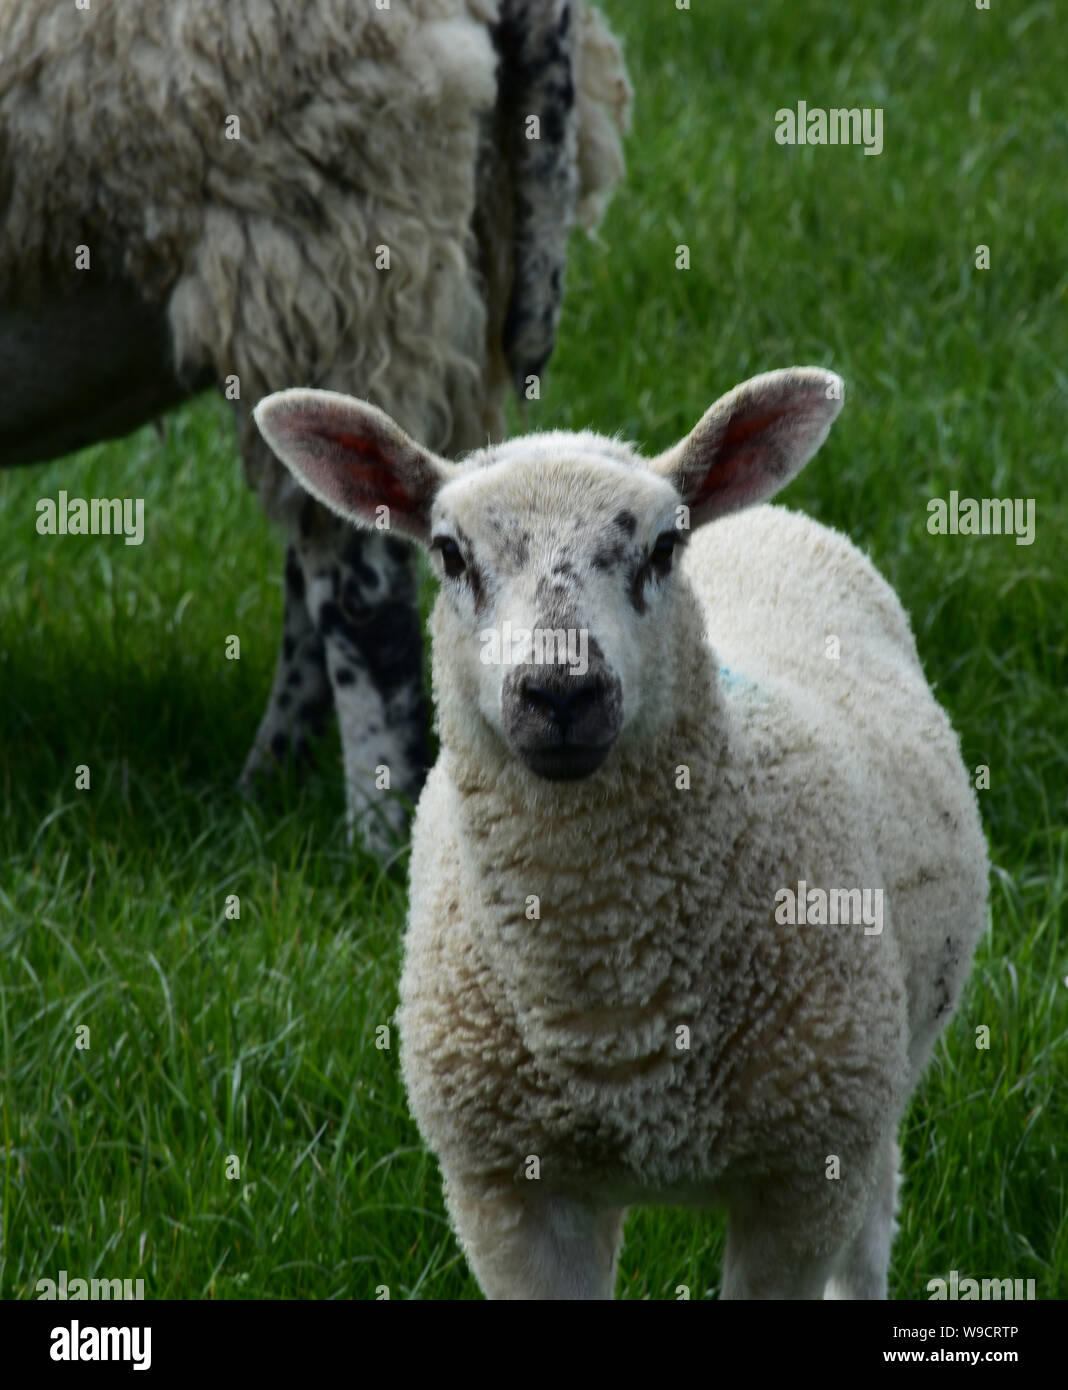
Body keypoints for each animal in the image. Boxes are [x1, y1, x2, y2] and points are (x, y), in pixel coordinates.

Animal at [267, 366, 992, 1299]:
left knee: (869, 1241)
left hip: (876, 1094)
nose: (561, 691)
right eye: (450, 554)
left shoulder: (804, 1179)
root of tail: (764, 515)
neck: (611, 1012)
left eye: (661, 550)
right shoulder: (506, 1192)